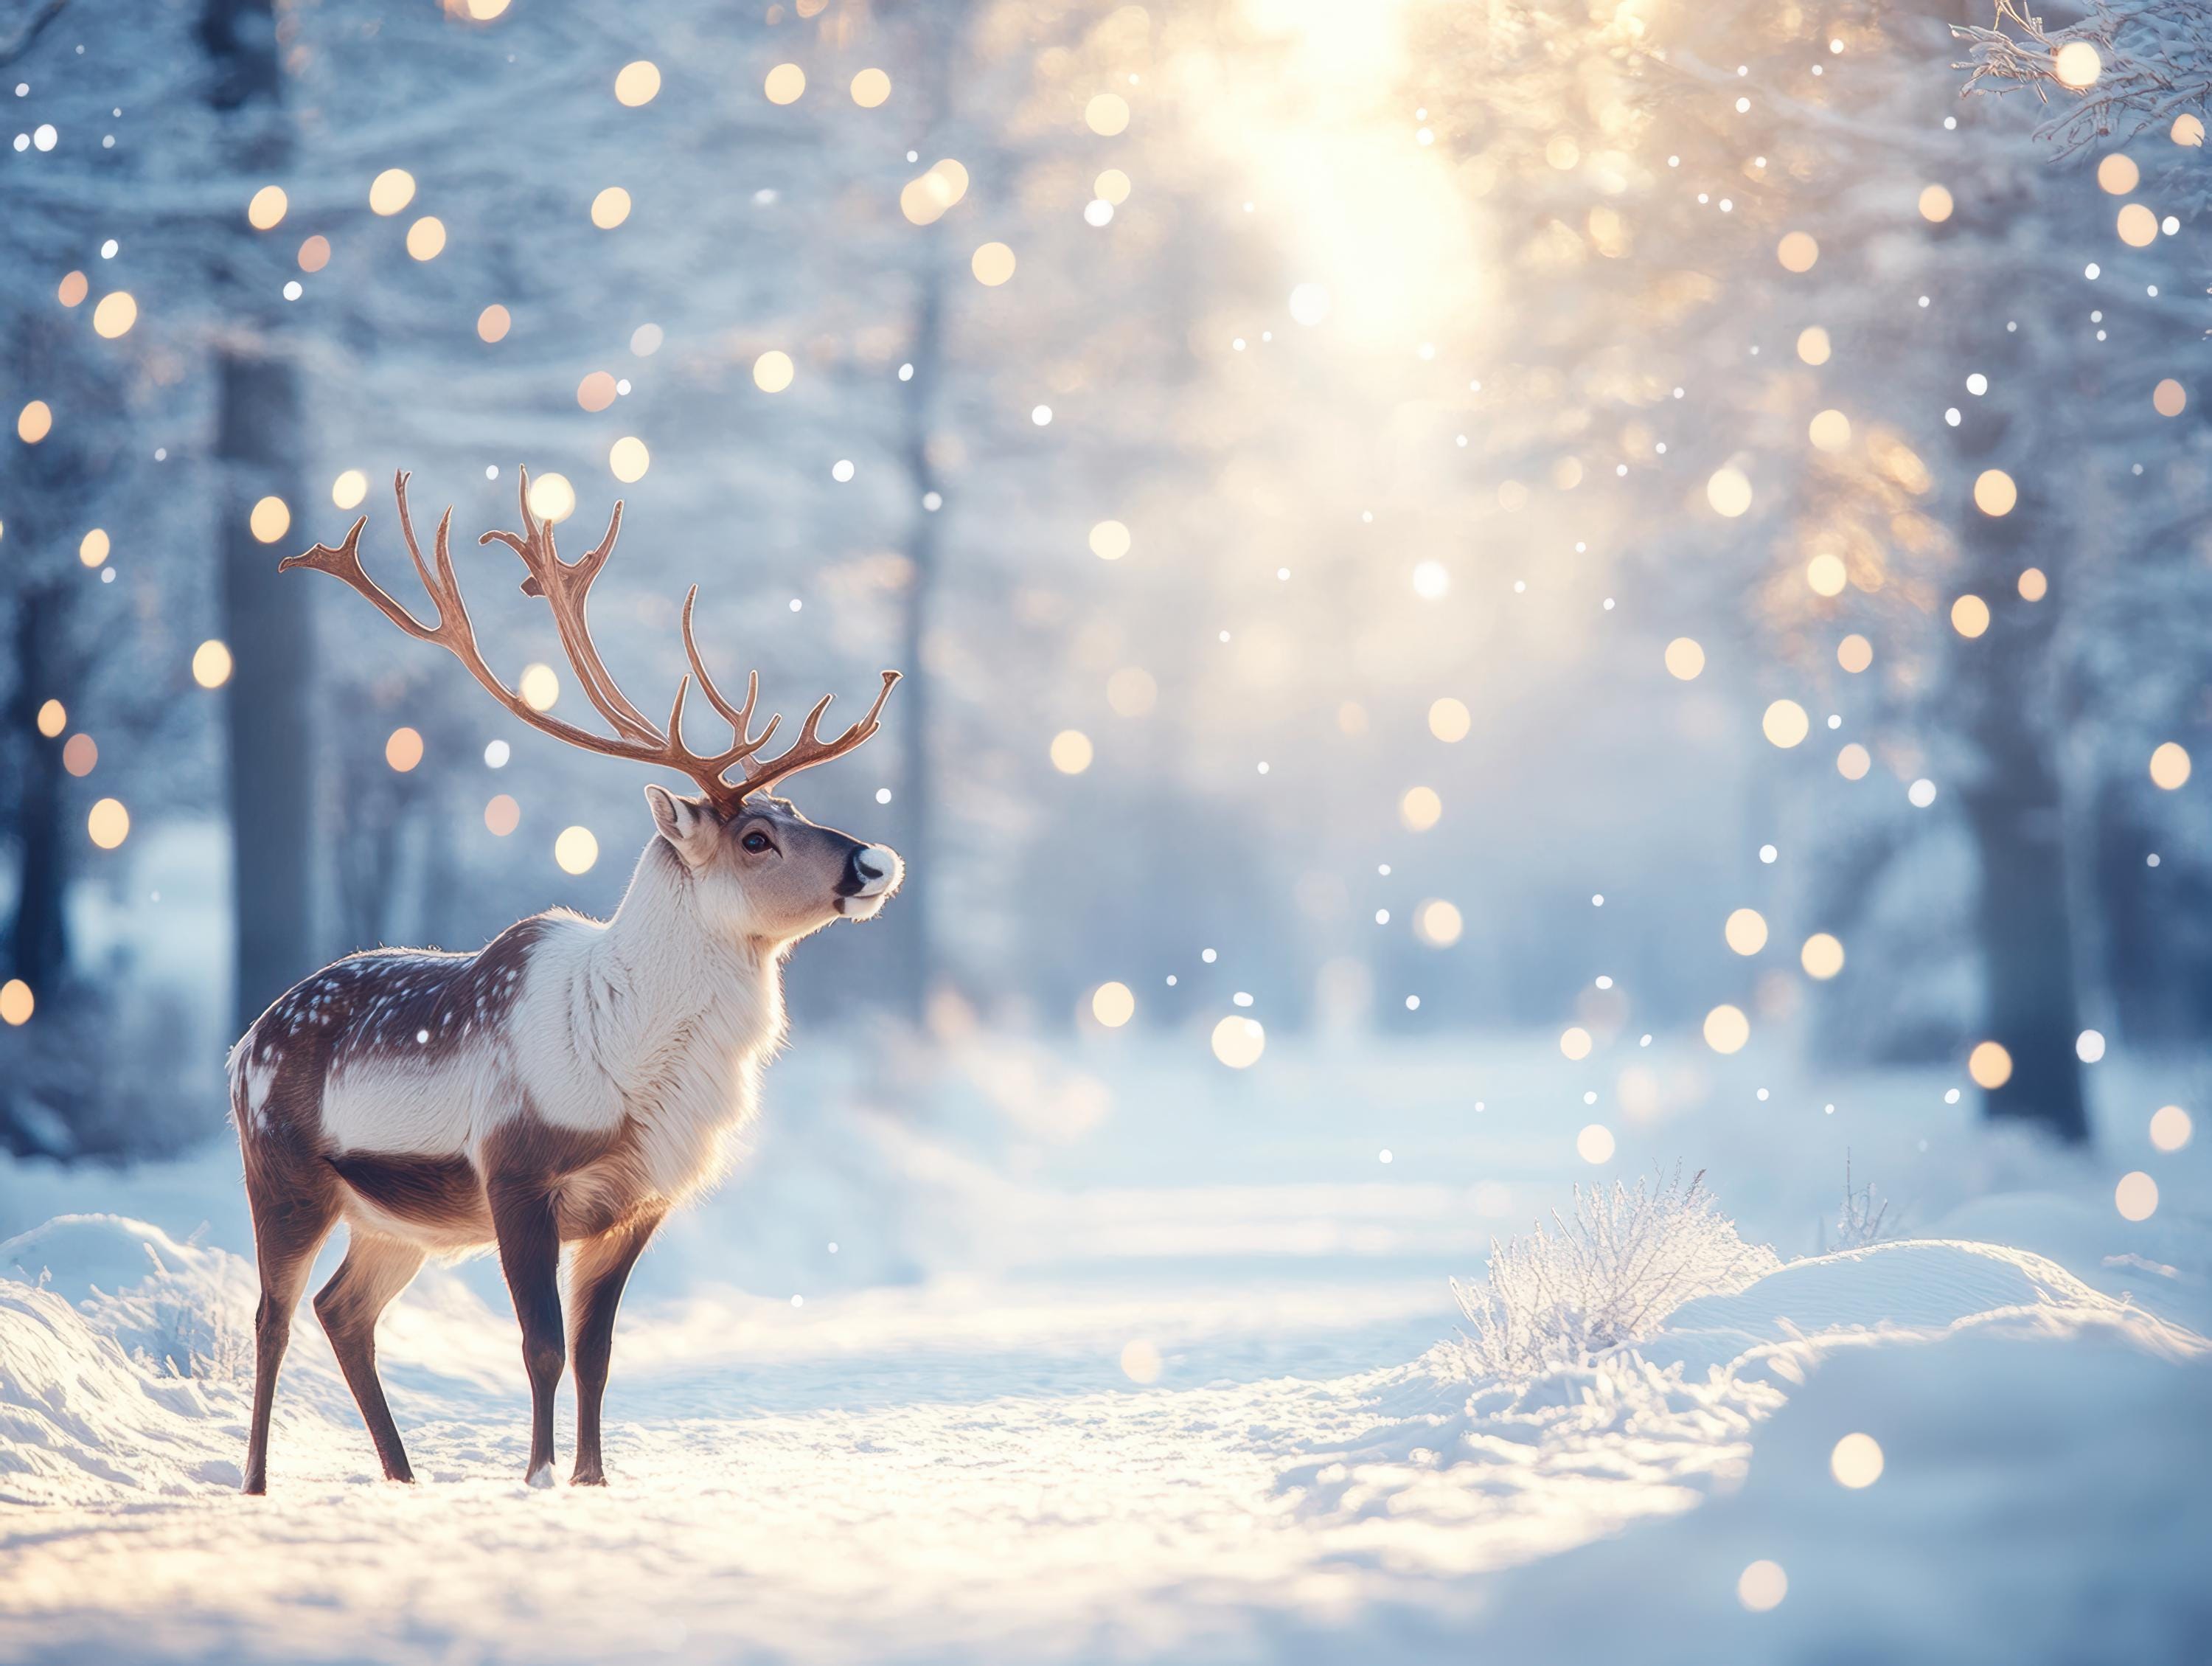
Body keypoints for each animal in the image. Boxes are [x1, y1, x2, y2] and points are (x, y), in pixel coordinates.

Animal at [227, 468, 902, 1495]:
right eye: (757, 837)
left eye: (795, 806)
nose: (873, 861)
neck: (633, 1065)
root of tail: (238, 1049)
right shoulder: (514, 1168)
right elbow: (540, 1345)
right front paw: (541, 1475)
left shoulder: (640, 1201)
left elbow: (596, 1354)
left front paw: (592, 1478)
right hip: (284, 1172)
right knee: (271, 1316)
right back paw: (258, 1483)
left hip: (393, 1220)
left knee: (343, 1310)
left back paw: (404, 1476)